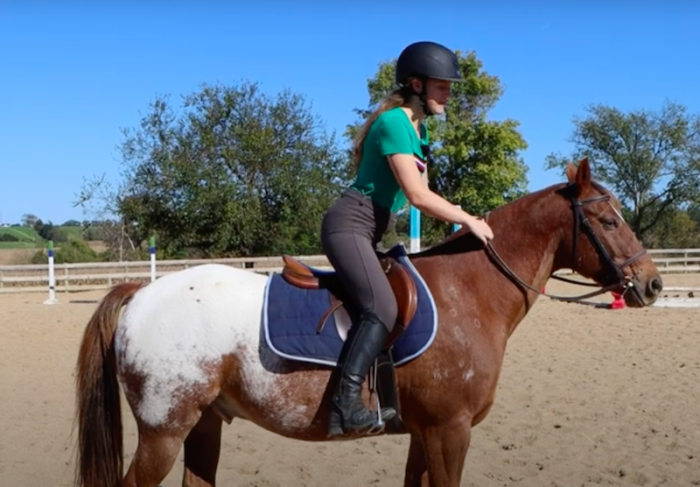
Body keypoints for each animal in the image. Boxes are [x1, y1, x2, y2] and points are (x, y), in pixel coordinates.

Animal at [74, 158, 662, 487]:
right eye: (607, 219)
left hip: (204, 423)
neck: (469, 292)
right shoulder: (450, 431)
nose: (653, 284)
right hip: (163, 431)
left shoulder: (426, 433)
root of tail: (143, 292)